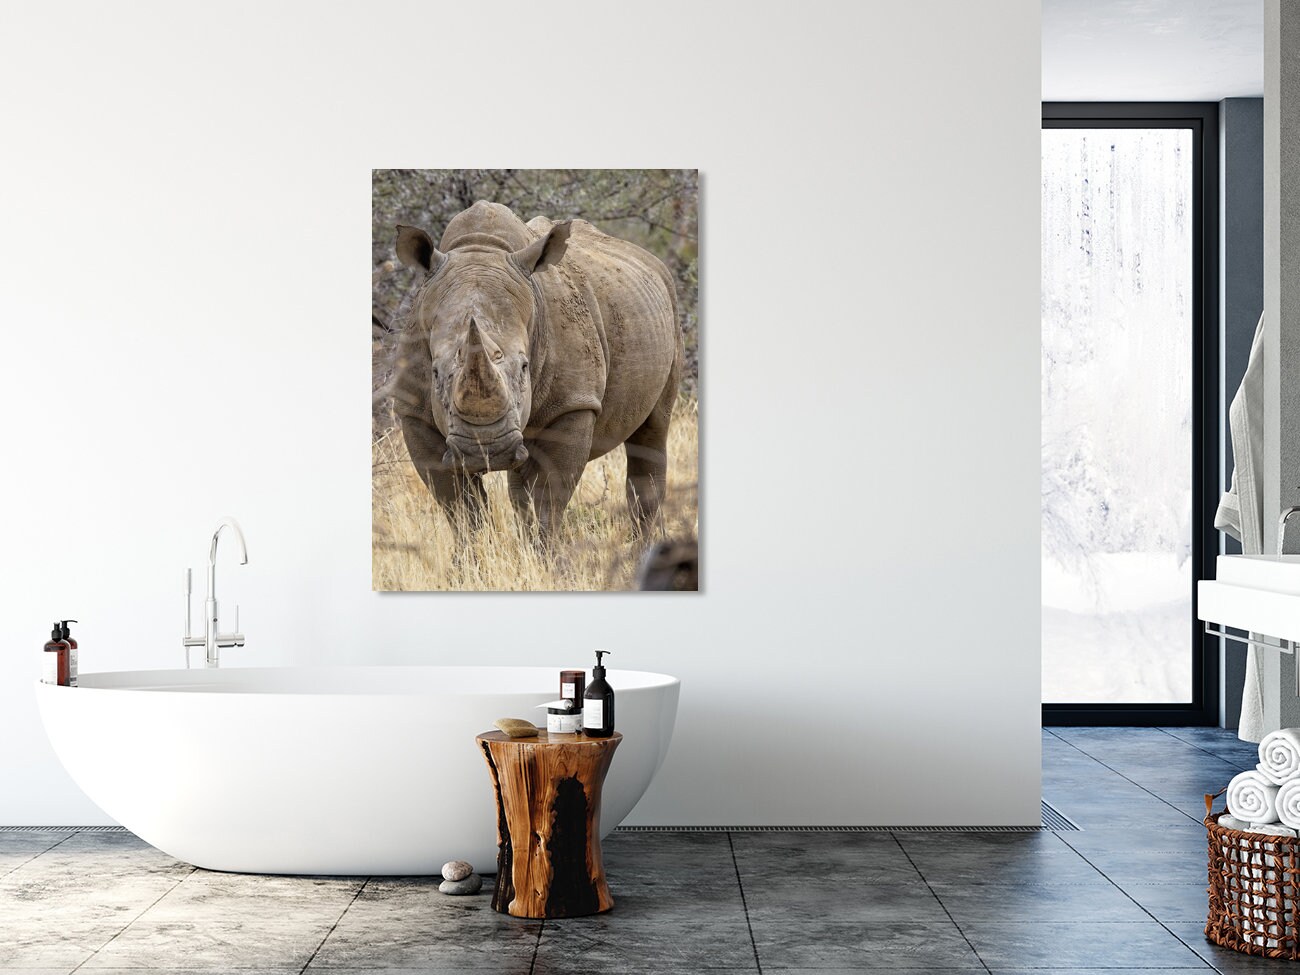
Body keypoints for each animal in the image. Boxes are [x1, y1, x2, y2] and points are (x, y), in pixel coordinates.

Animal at [389, 201, 683, 540]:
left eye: (524, 367)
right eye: (435, 372)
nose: (486, 450)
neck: (481, 248)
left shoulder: (572, 404)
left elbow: (546, 501)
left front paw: (545, 555)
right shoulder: (415, 412)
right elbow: (460, 508)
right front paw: (473, 555)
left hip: (668, 305)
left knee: (654, 428)